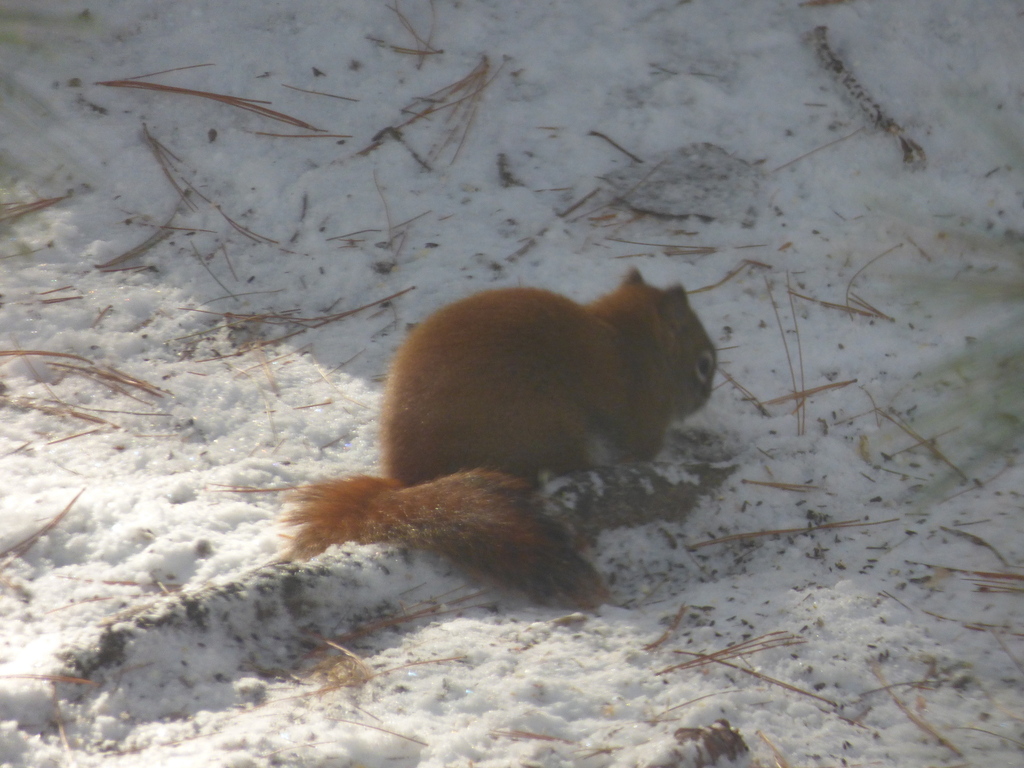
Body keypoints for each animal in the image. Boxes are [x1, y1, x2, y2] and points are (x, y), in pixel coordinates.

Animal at [282, 268, 716, 608]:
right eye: (704, 364)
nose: (708, 395)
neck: (630, 343)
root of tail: (409, 479)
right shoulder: (643, 424)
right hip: (542, 429)